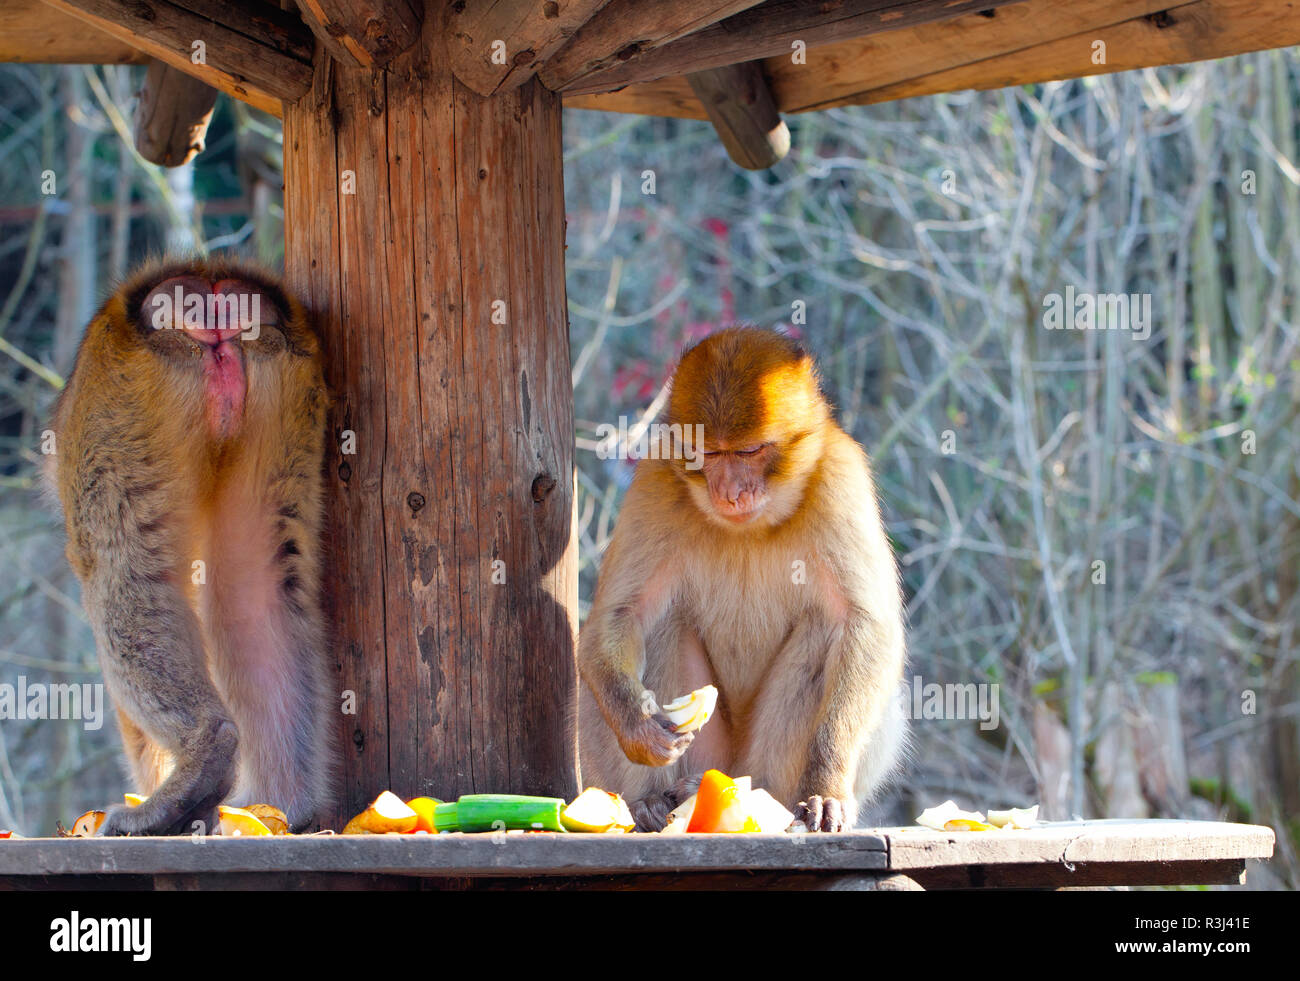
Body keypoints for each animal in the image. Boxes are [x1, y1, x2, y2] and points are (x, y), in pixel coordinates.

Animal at [45, 257, 333, 835]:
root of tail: (212, 286)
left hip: (122, 397)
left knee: (122, 573)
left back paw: (200, 760)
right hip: (284, 393)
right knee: (255, 589)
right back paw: (284, 806)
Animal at [577, 327, 906, 832]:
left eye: (749, 451)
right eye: (709, 453)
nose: (730, 493)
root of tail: (731, 775)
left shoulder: (840, 477)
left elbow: (862, 625)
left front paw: (827, 782)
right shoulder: (656, 480)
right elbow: (620, 615)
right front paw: (636, 725)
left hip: (750, 762)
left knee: (823, 631)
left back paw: (775, 797)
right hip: (707, 753)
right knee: (659, 626)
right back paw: (651, 800)